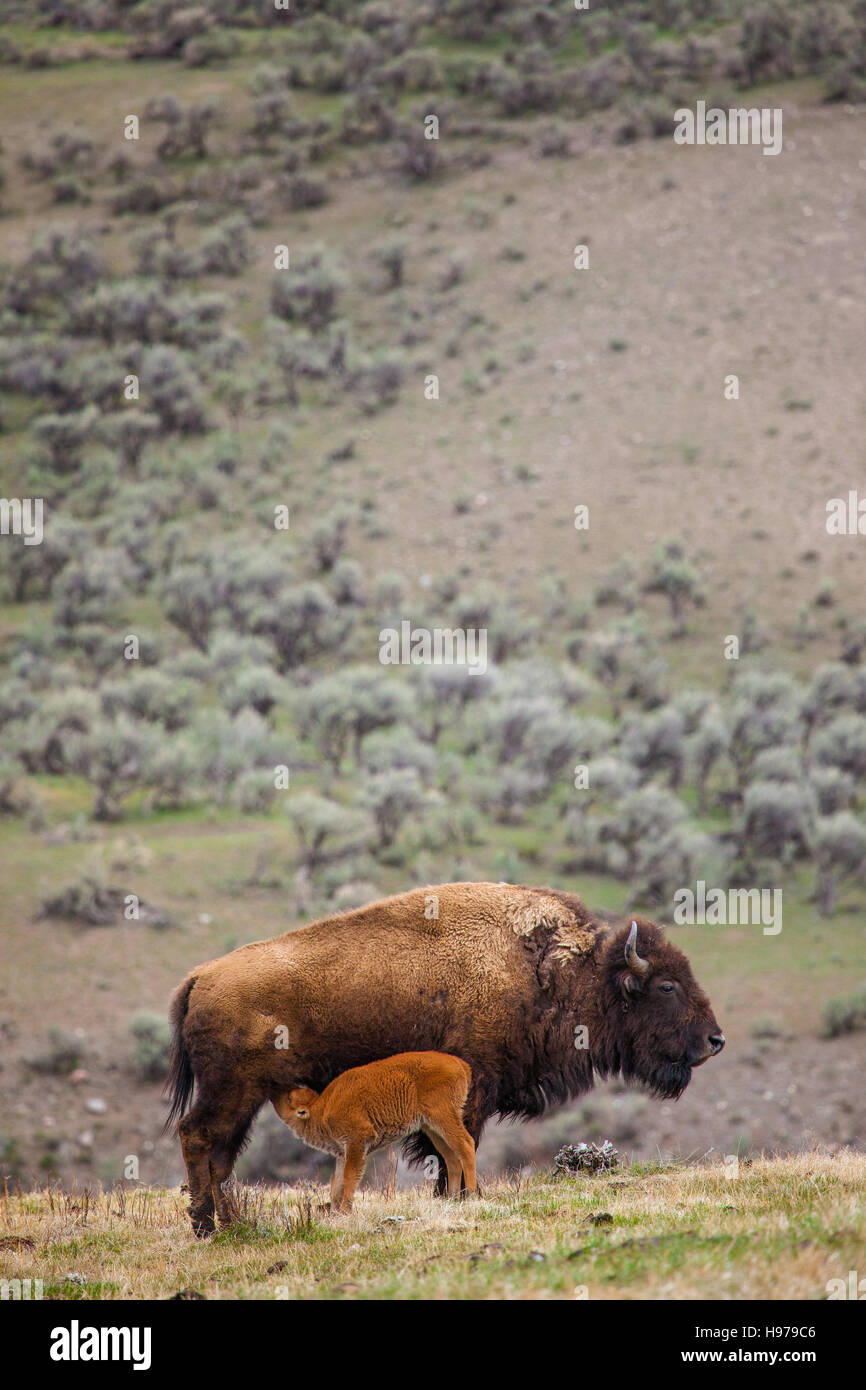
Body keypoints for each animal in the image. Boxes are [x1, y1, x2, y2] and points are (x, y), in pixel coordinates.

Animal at [165, 881, 724, 1234]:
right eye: (667, 985)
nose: (715, 1040)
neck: (547, 970)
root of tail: (200, 978)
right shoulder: (469, 1094)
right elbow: (455, 1147)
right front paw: (458, 1199)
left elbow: (450, 1148)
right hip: (230, 1090)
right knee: (199, 1138)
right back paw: (205, 1226)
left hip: (247, 1097)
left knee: (221, 1153)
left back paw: (228, 1222)